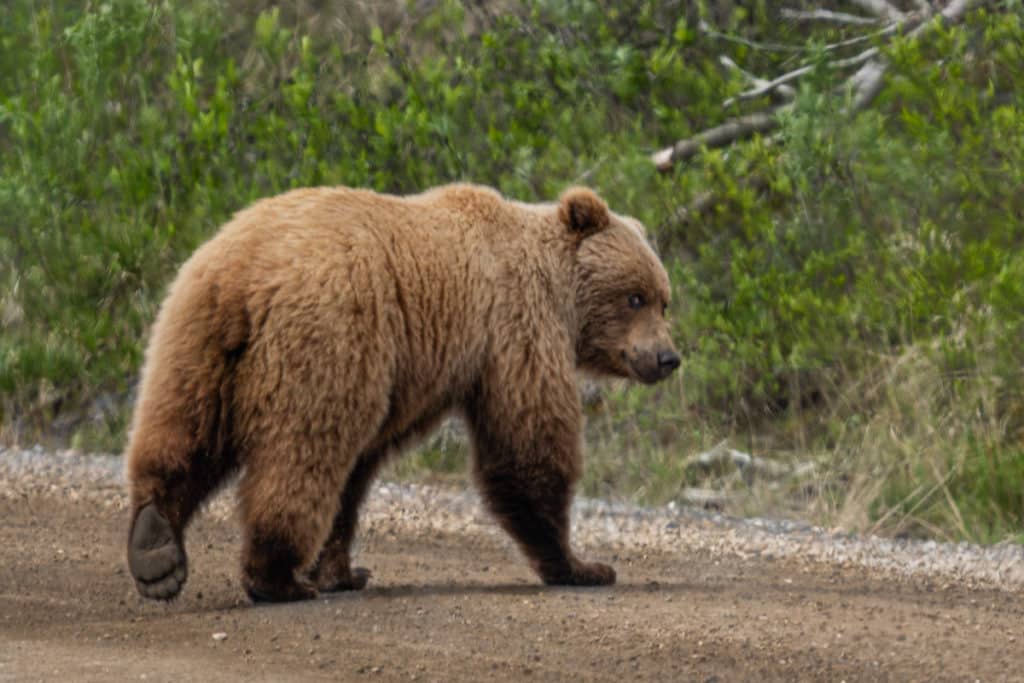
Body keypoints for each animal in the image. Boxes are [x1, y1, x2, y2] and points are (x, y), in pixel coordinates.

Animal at [125, 183, 680, 603]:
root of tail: (246, 272)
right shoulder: (516, 326)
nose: (668, 358)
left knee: (181, 432)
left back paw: (155, 548)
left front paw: (344, 571)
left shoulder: (411, 371)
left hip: (194, 341)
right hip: (326, 338)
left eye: (664, 300)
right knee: (303, 453)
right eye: (635, 297)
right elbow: (528, 445)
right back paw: (276, 576)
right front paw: (581, 564)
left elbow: (359, 469)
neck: (559, 292)